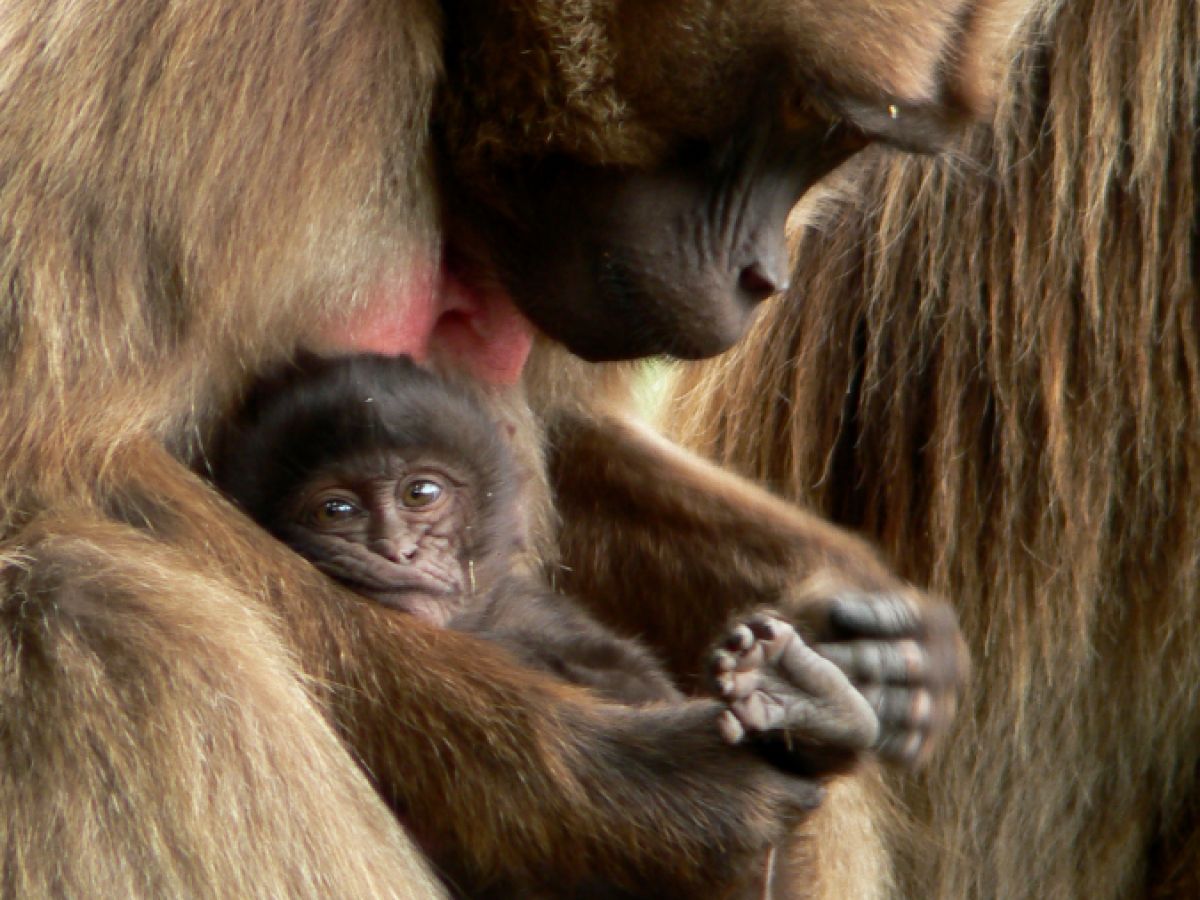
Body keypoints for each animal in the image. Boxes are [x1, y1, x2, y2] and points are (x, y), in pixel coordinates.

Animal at [0, 0, 1029, 896]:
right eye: (808, 117)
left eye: (830, 140)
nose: (761, 278)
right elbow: (57, 465)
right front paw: (611, 790)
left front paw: (876, 639)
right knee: (94, 604)